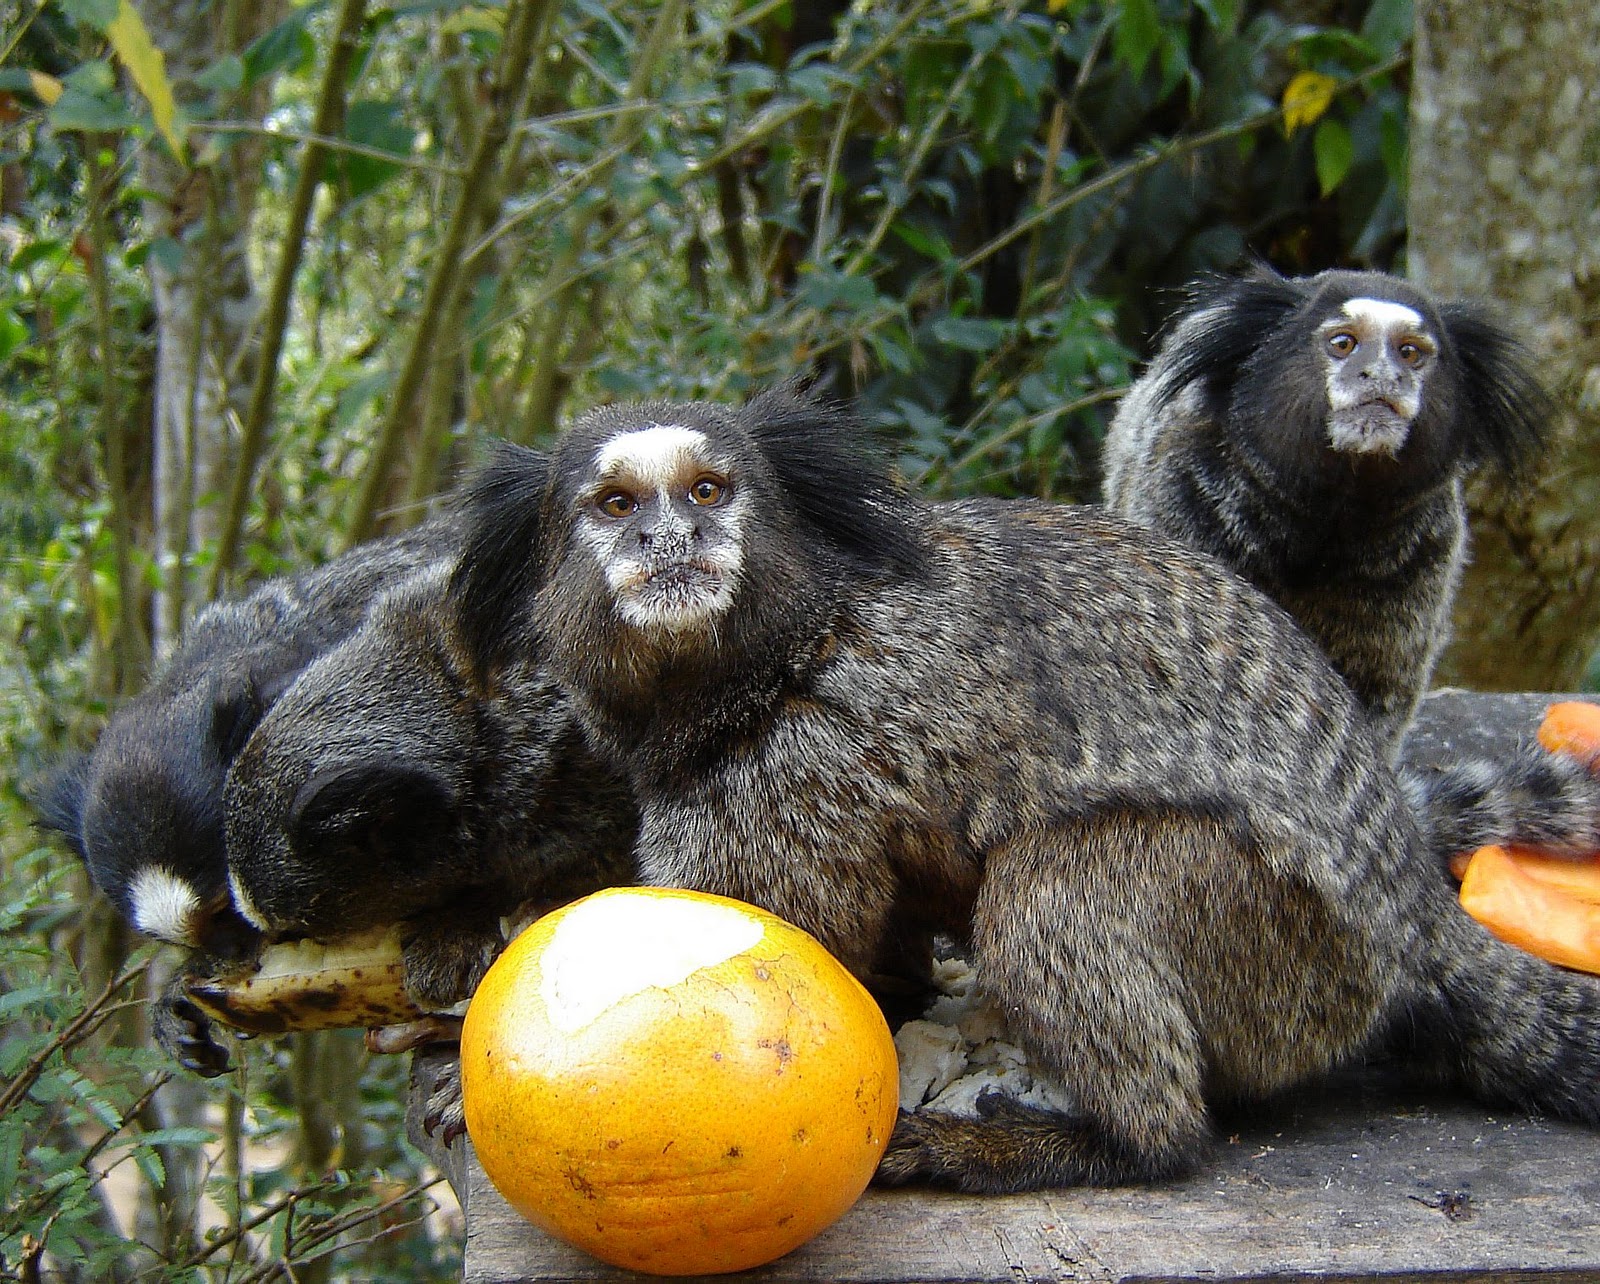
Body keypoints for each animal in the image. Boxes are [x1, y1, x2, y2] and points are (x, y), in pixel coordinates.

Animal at [450, 385, 1600, 1192]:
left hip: (1295, 949)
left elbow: (793, 940)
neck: (781, 654)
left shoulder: (790, 776)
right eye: (612, 506)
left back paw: (1099, 1142)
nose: (668, 542)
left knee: (1057, 890)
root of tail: (1406, 905)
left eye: (705, 492)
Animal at [1100, 265, 1553, 755]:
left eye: (1410, 352)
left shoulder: (1421, 558)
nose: (1382, 375)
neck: (1325, 517)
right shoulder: (1188, 498)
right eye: (1343, 343)